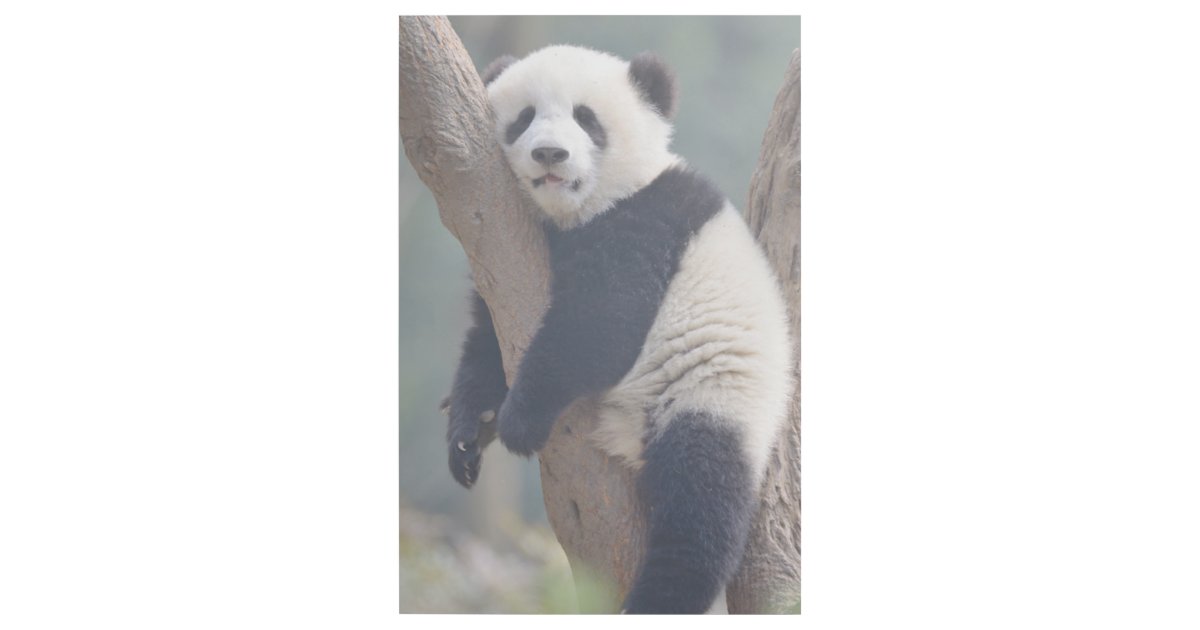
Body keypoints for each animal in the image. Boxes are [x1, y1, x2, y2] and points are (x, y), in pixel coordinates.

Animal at [442, 45, 793, 614]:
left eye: (587, 119)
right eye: (524, 118)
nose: (550, 155)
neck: (576, 214)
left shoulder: (649, 220)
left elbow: (600, 326)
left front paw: (519, 420)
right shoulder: (503, 249)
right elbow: (488, 337)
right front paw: (469, 434)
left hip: (714, 395)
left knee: (702, 495)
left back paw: (662, 596)